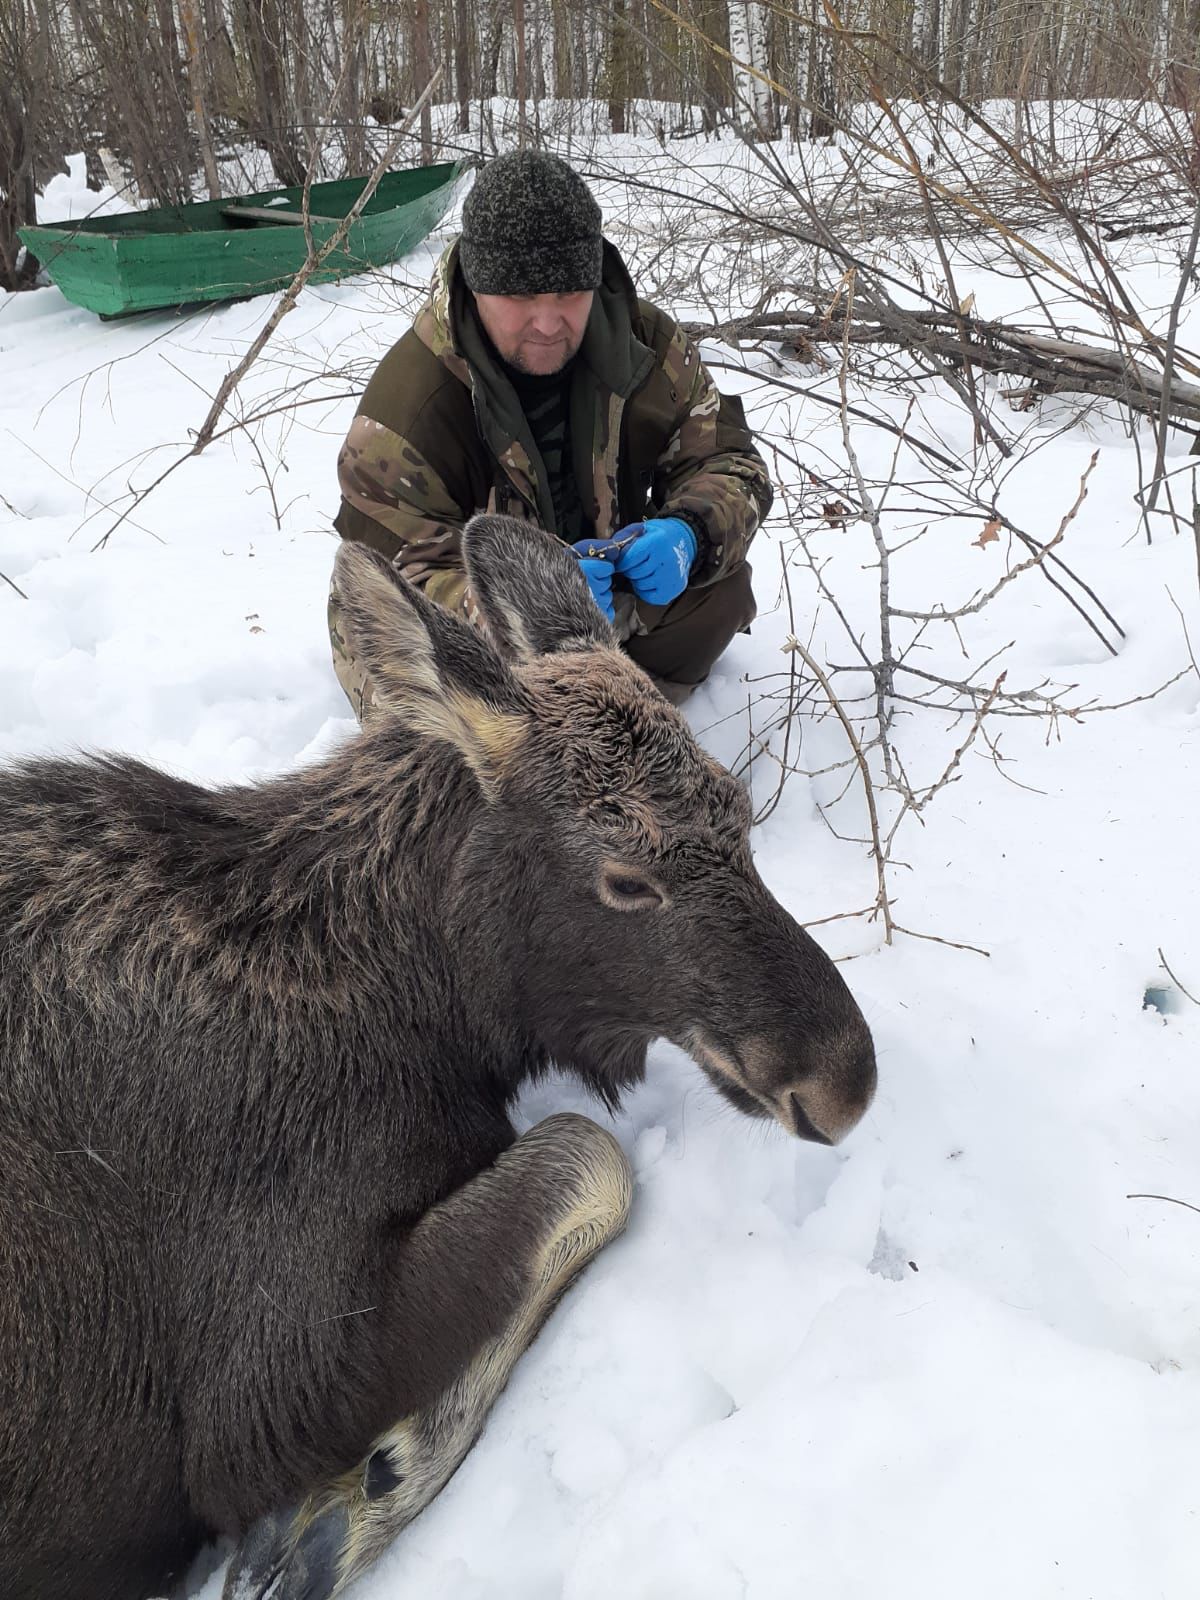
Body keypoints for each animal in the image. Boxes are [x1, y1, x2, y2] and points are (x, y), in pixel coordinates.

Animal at [0, 515, 876, 1600]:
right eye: (628, 878)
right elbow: (590, 1157)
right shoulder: (262, 1386)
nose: (844, 1077)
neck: (424, 1004)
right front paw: (340, 1506)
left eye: (741, 812)